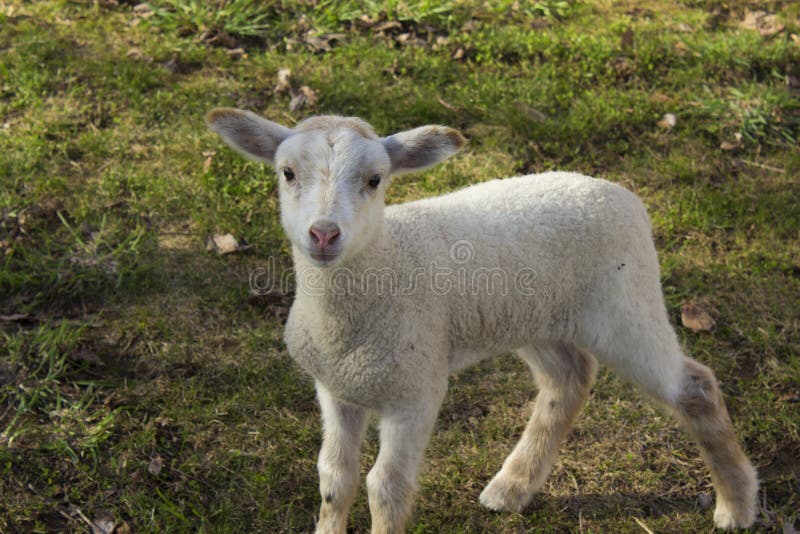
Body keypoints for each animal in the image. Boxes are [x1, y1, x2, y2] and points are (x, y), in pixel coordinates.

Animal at [206, 108, 758, 533]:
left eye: (375, 180)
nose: (323, 234)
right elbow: (333, 478)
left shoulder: (416, 391)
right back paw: (511, 488)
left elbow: (385, 487)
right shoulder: (336, 387)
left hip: (626, 305)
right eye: (287, 173)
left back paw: (736, 506)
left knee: (695, 386)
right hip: (536, 319)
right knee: (569, 379)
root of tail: (613, 189)